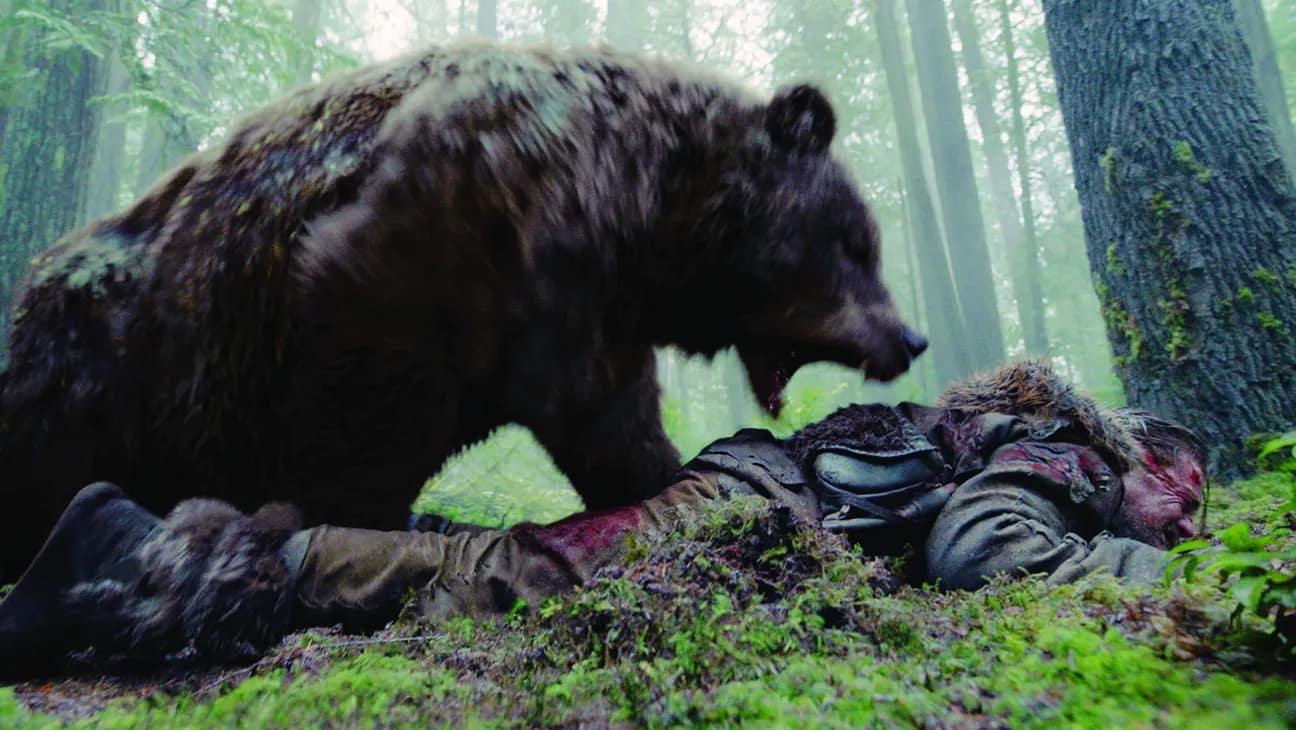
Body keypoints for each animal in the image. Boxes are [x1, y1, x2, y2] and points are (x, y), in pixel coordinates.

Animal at [0, 41, 926, 582]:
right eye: (858, 240)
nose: (909, 336)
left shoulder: (580, 297)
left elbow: (594, 405)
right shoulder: (445, 238)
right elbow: (365, 404)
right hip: (94, 372)